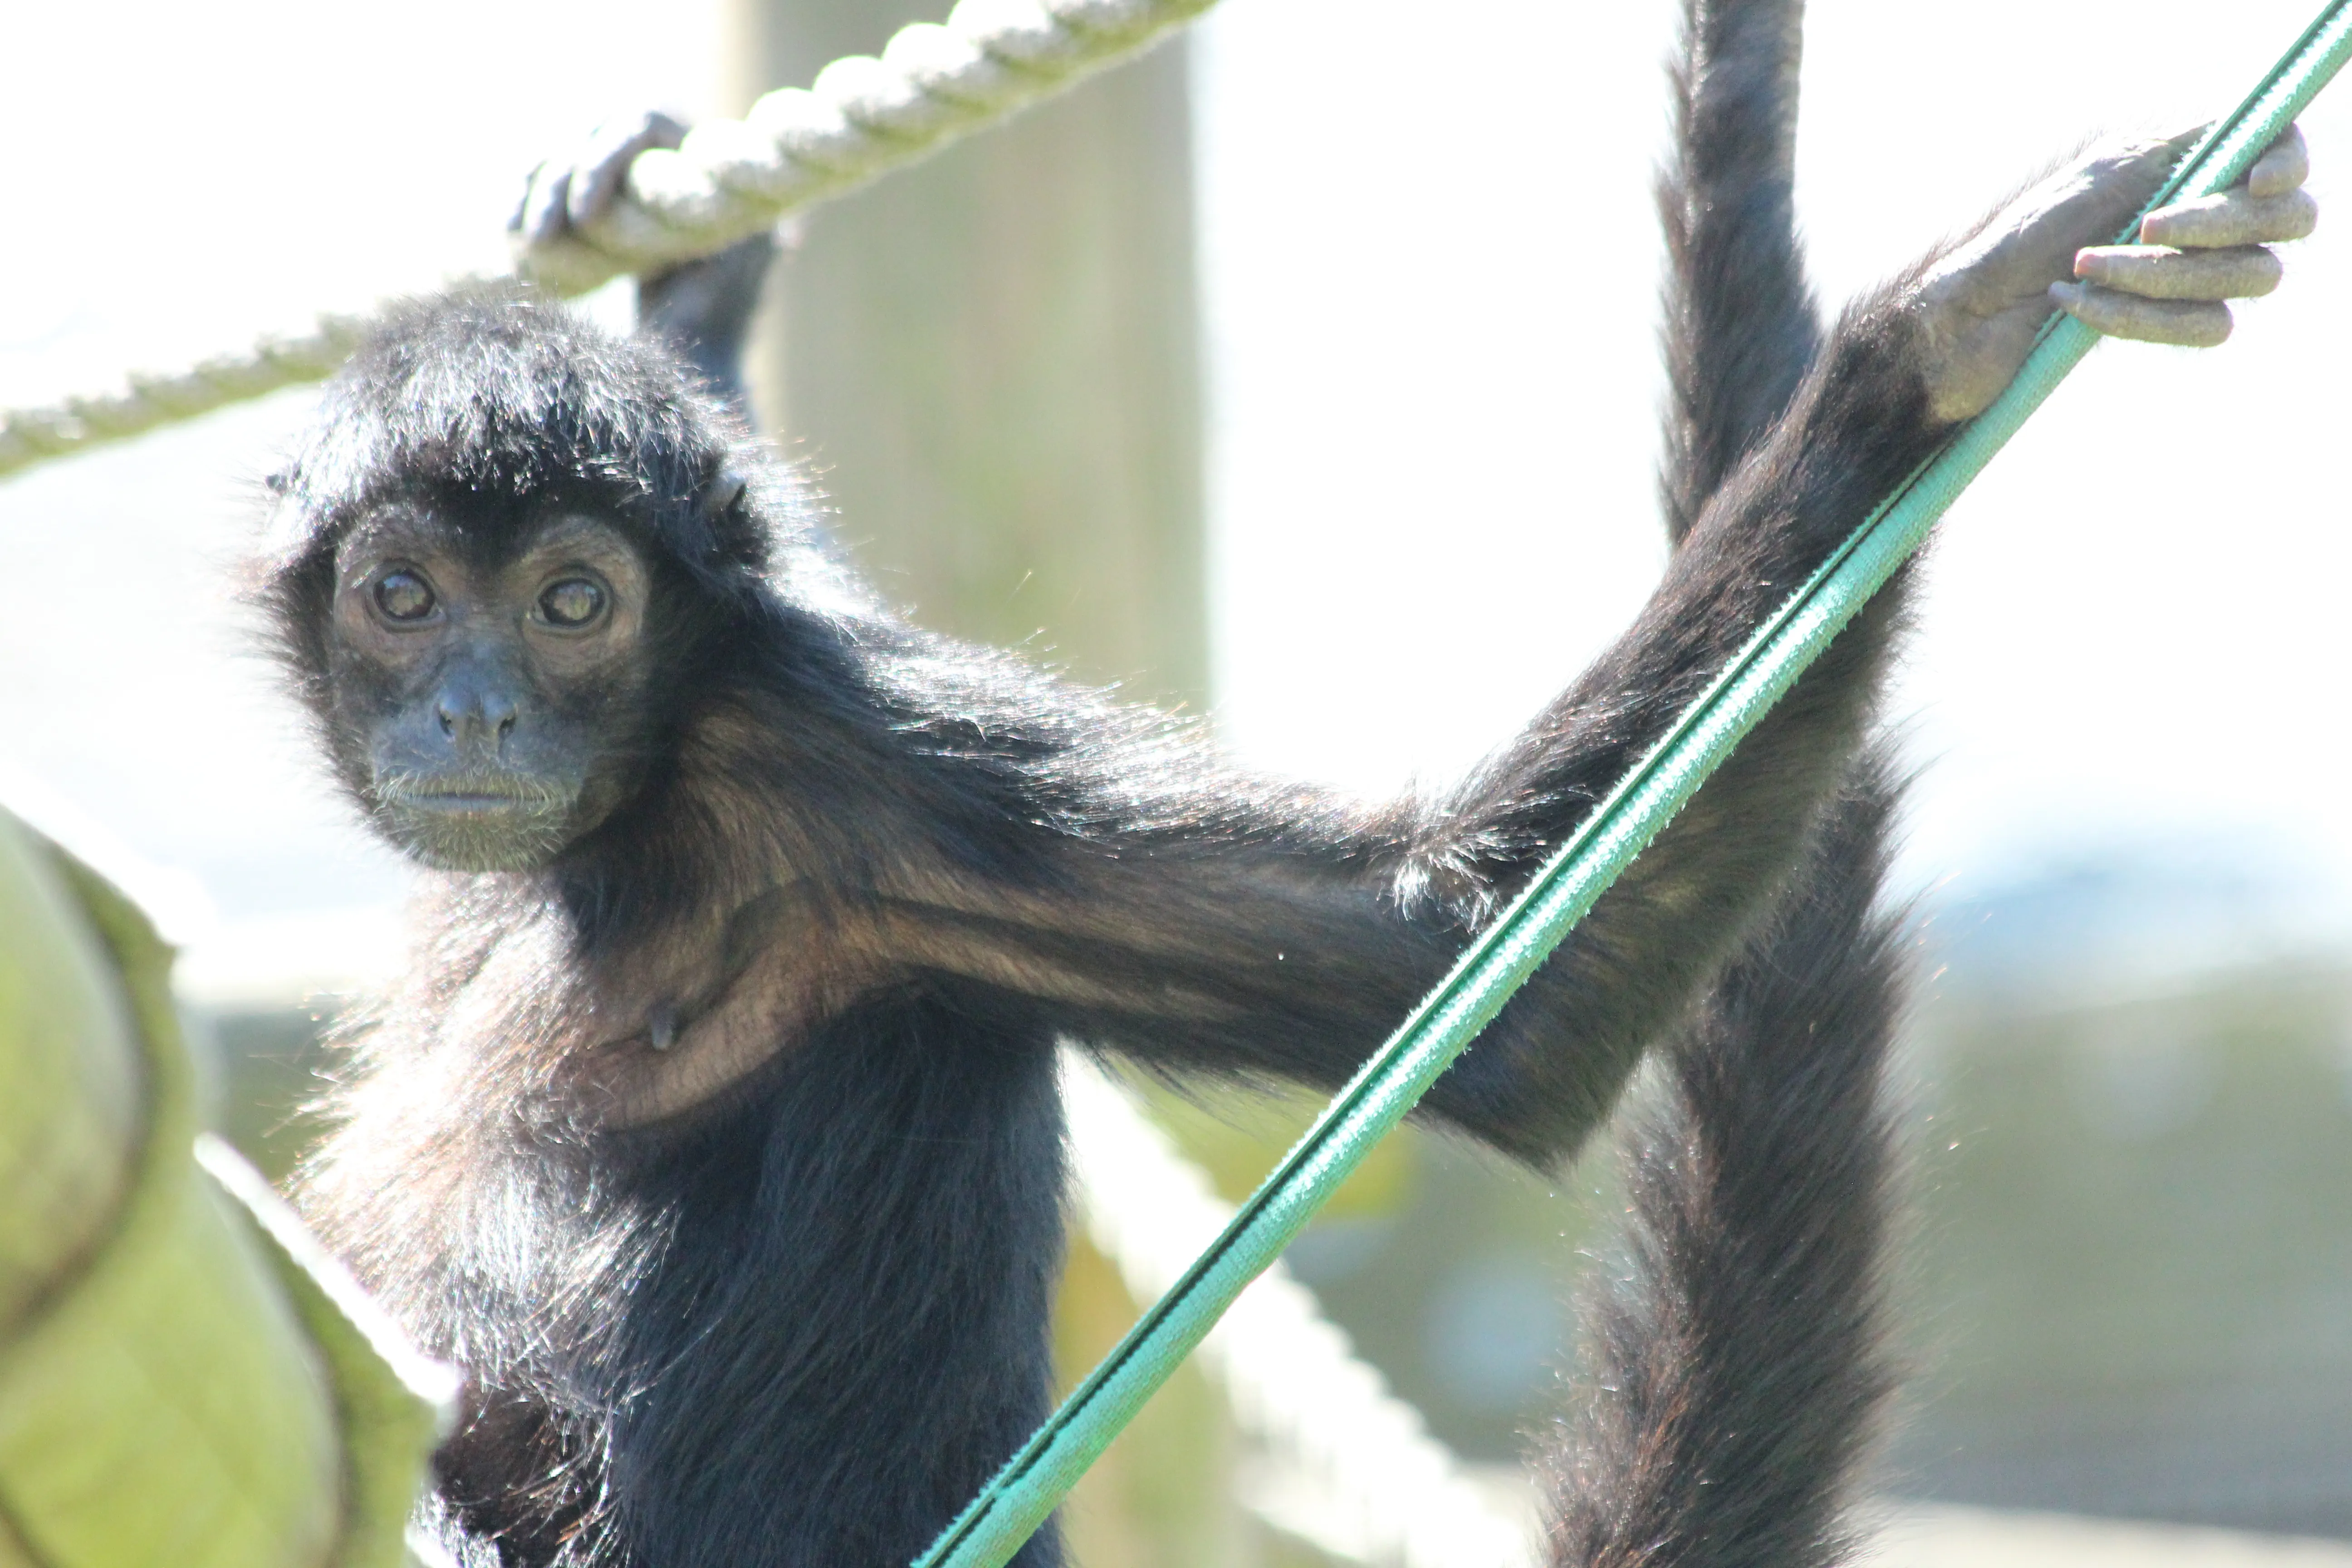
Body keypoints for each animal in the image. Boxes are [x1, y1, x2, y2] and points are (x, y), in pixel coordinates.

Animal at [260, 27, 2317, 1565]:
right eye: (402, 596)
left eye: (575, 605)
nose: (473, 713)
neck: (619, 835)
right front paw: (687, 289)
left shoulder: (845, 790)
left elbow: (1477, 949)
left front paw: (1924, 354)